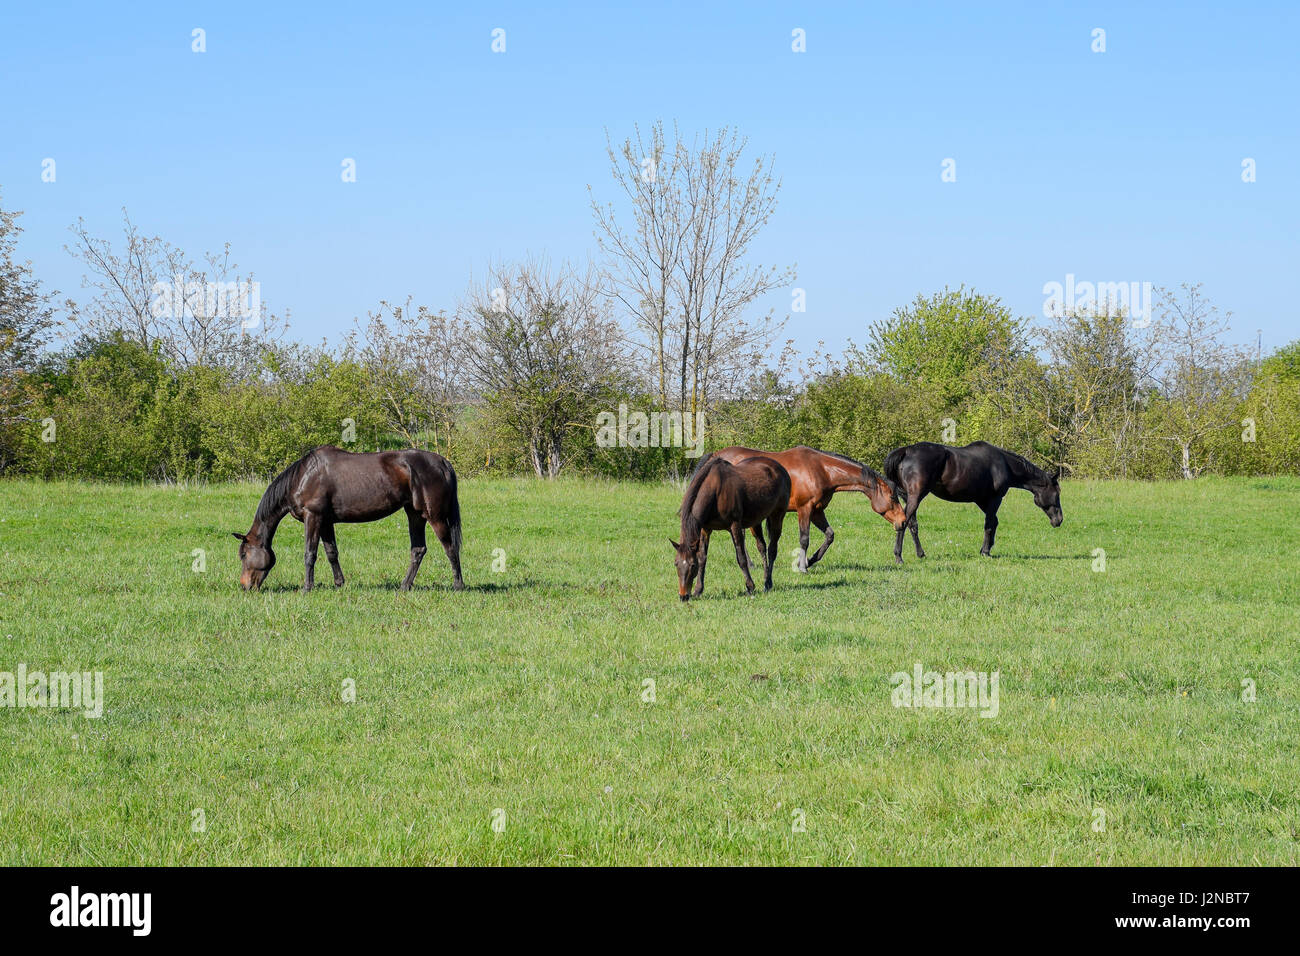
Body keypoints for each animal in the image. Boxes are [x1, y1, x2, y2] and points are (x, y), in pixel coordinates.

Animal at [233, 445, 464, 592]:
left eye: (243, 554)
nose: (245, 586)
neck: (304, 476)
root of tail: (442, 463)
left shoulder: (313, 517)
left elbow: (310, 553)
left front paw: (307, 587)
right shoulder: (326, 522)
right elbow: (331, 553)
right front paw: (339, 583)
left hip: (435, 517)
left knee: (450, 548)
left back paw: (458, 585)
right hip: (414, 514)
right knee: (418, 550)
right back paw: (404, 585)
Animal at [670, 453, 791, 601]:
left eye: (692, 565)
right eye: (676, 563)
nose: (683, 596)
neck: (715, 491)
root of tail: (780, 468)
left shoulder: (735, 526)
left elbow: (741, 557)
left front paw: (750, 587)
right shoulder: (705, 530)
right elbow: (703, 558)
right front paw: (698, 590)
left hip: (778, 515)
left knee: (772, 549)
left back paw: (768, 582)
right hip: (756, 521)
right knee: (762, 547)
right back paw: (765, 578)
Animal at [712, 446, 906, 571]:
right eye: (893, 497)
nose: (903, 521)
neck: (822, 470)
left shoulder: (817, 511)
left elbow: (829, 536)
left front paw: (811, 560)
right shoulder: (804, 509)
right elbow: (804, 538)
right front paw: (802, 566)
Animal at [883, 441, 1062, 563]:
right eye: (1057, 494)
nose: (1059, 520)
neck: (1004, 464)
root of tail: (906, 451)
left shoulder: (981, 500)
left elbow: (994, 522)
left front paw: (987, 548)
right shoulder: (995, 499)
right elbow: (989, 524)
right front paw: (985, 551)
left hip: (909, 497)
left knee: (913, 525)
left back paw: (921, 554)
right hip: (916, 496)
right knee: (903, 523)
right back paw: (898, 556)